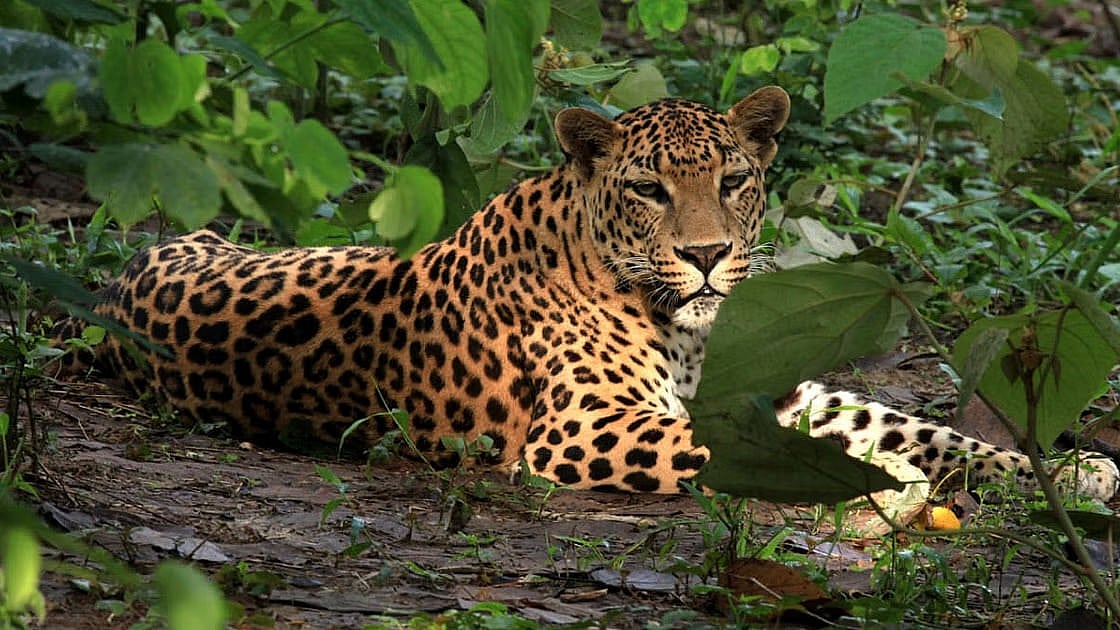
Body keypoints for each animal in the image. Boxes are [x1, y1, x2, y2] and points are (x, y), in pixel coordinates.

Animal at [52, 86, 1118, 501]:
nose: (704, 255)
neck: (685, 328)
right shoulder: (584, 428)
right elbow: (775, 451)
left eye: (734, 178)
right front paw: (888, 481)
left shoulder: (767, 387)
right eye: (648, 189)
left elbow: (918, 427)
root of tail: (121, 271)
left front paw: (1067, 472)